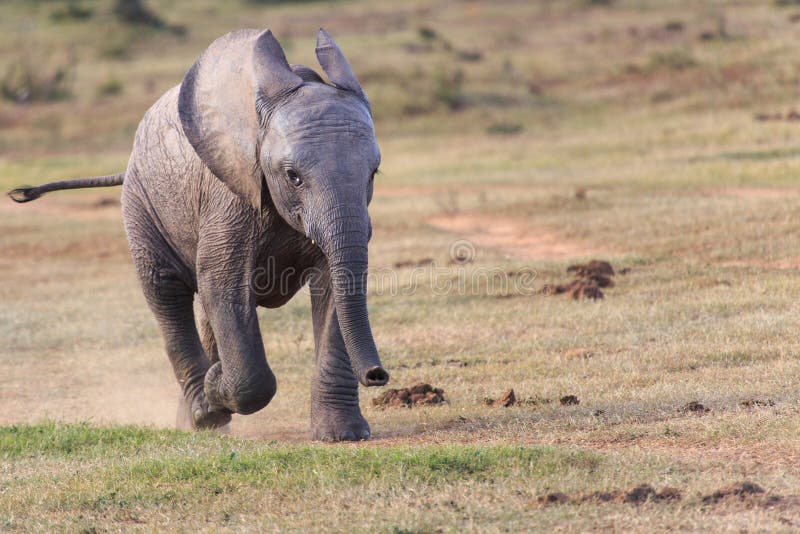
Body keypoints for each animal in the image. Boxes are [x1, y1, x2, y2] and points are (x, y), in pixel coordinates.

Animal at [8, 28, 390, 441]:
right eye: (293, 176)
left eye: (373, 174)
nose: (377, 374)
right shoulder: (228, 197)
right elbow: (223, 283)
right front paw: (215, 387)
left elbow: (334, 286)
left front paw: (343, 436)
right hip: (141, 203)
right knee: (166, 291)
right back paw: (204, 413)